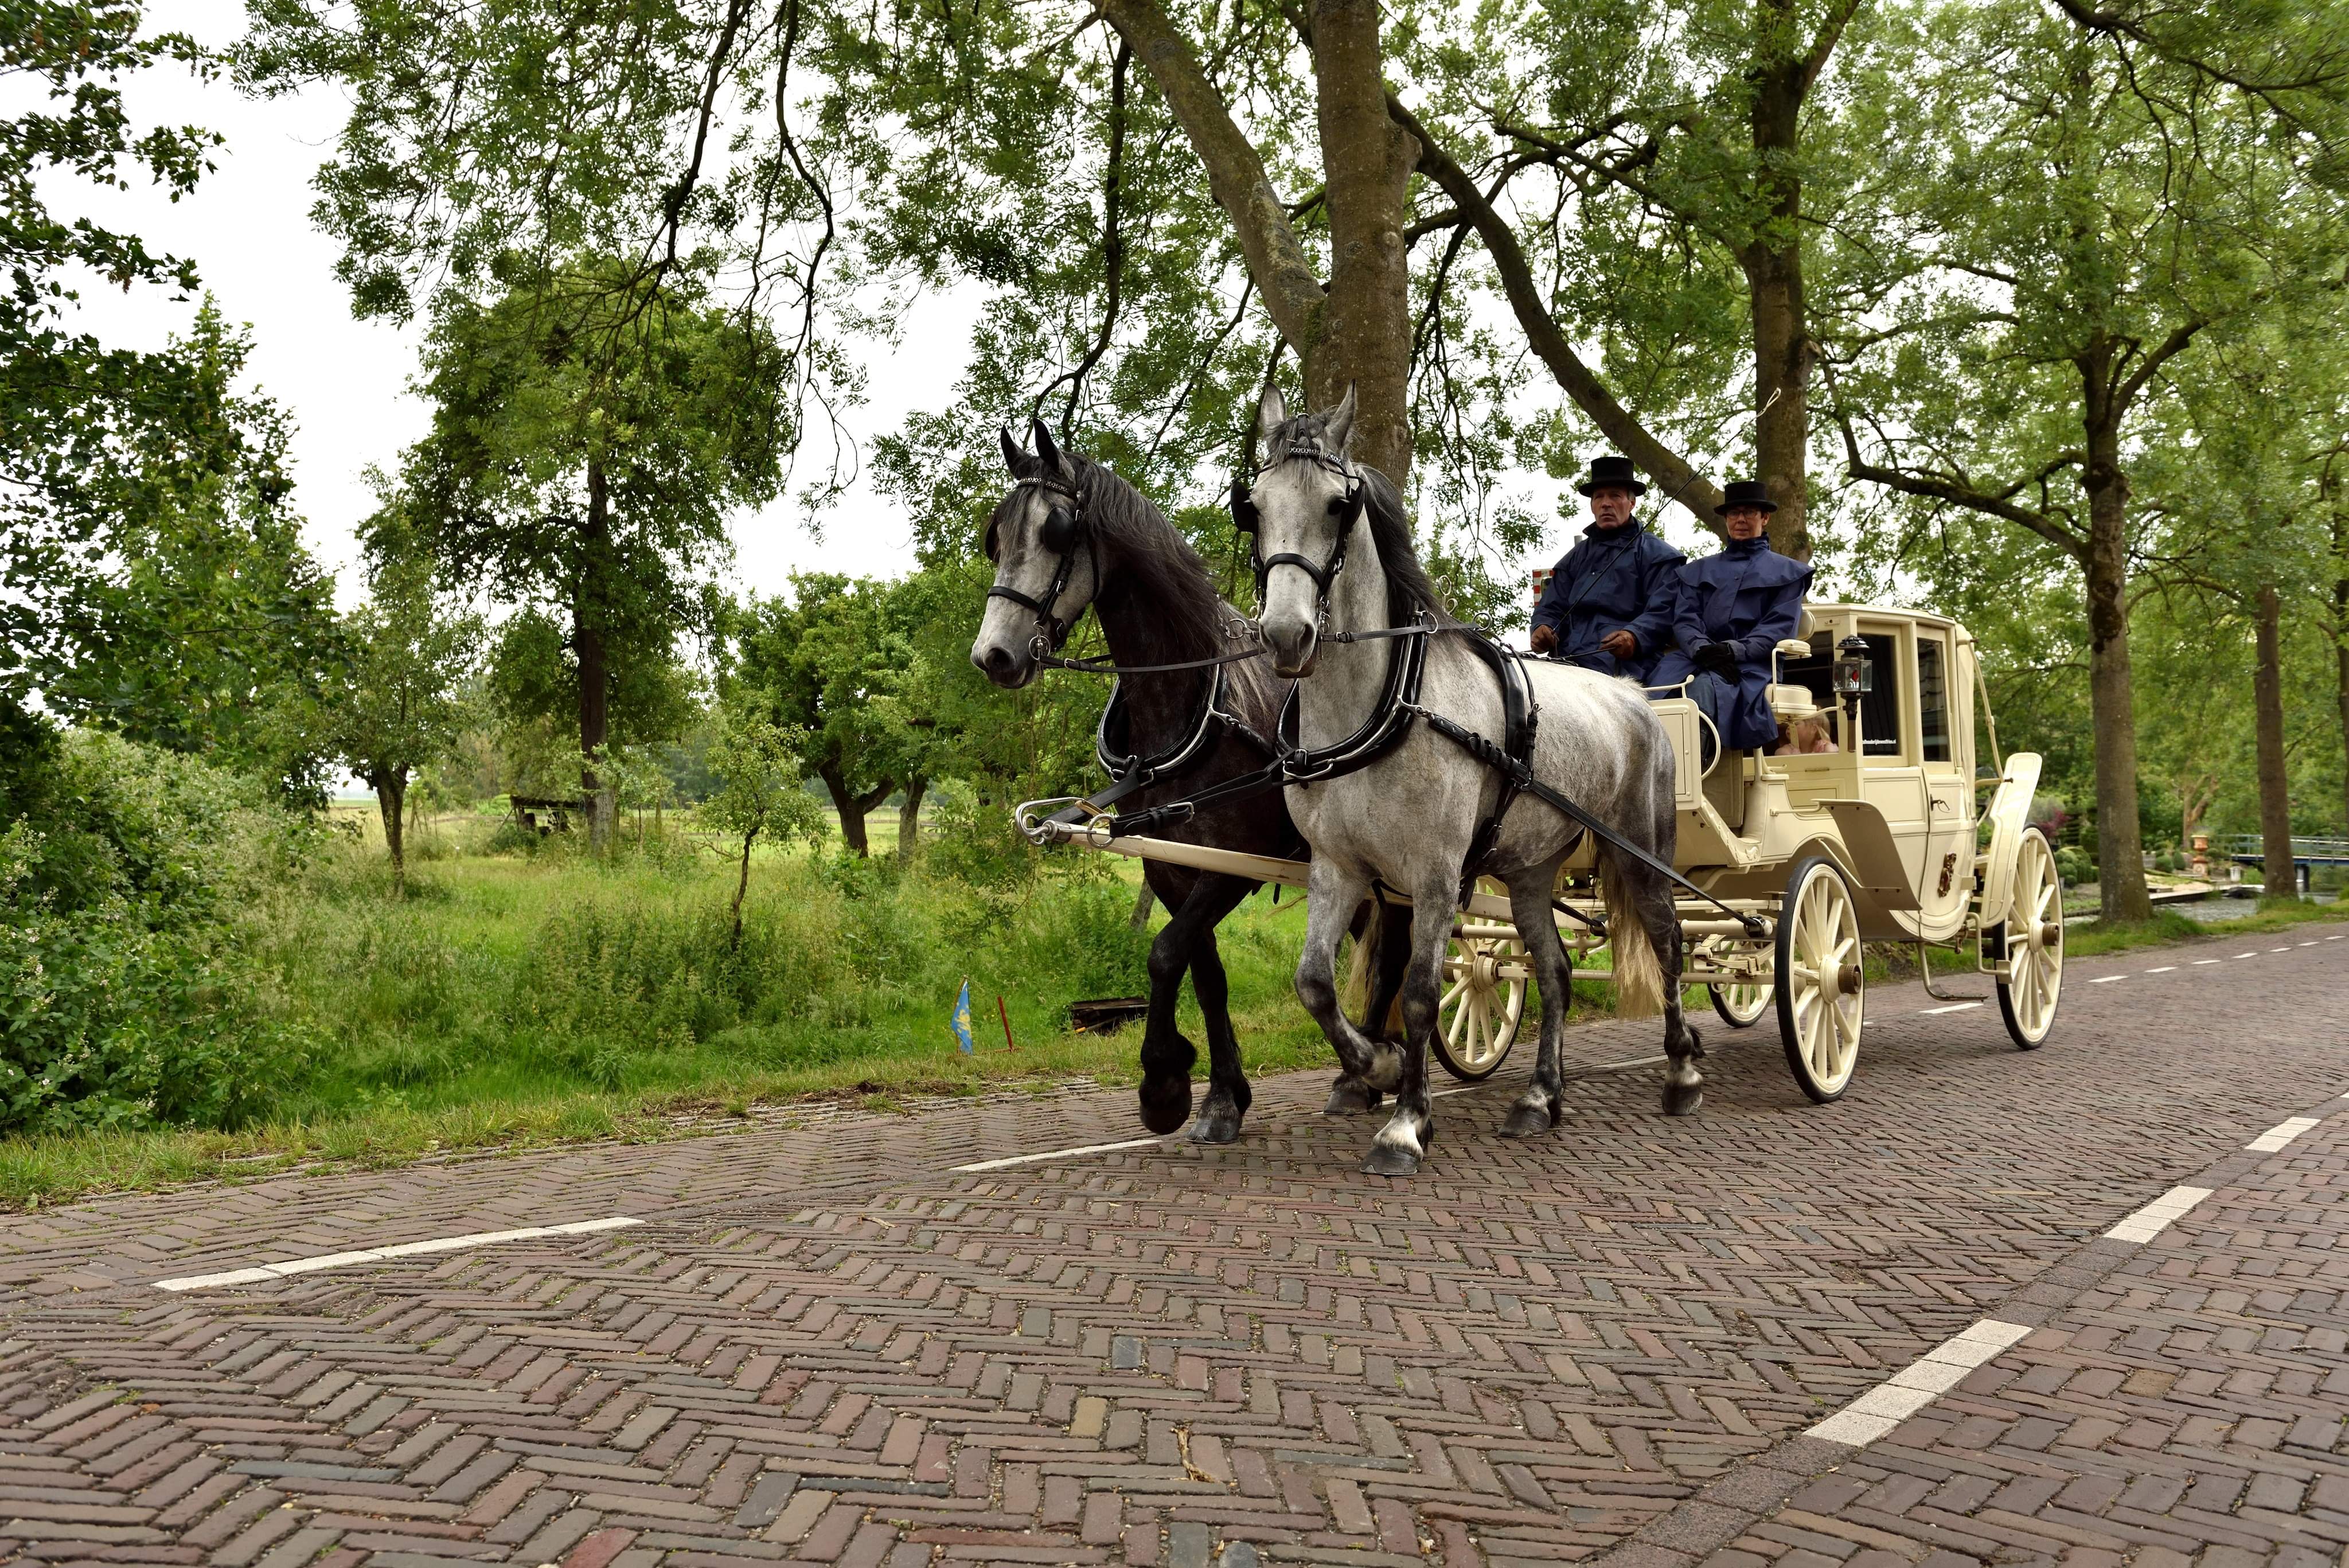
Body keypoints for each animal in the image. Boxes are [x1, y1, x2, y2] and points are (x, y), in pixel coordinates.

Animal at [969, 418, 1411, 1143]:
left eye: (1058, 530)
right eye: (995, 536)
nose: (994, 656)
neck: (1188, 704)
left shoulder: (1233, 866)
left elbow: (1164, 953)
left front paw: (1164, 1080)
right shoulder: (1170, 867)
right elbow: (1205, 972)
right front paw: (1222, 1096)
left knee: (1398, 951)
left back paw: (1373, 1068)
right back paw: (1362, 1070)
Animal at [1240, 386, 1704, 1176]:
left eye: (1338, 505)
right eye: (1255, 504)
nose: (1284, 635)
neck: (1387, 703)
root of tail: (1635, 697)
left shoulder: (1433, 872)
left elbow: (1421, 993)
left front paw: (1405, 1123)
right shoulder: (1338, 867)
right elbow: (1314, 983)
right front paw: (1376, 1065)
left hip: (1641, 853)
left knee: (1669, 943)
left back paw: (1680, 1074)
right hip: (1529, 871)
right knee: (1553, 970)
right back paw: (1540, 1098)